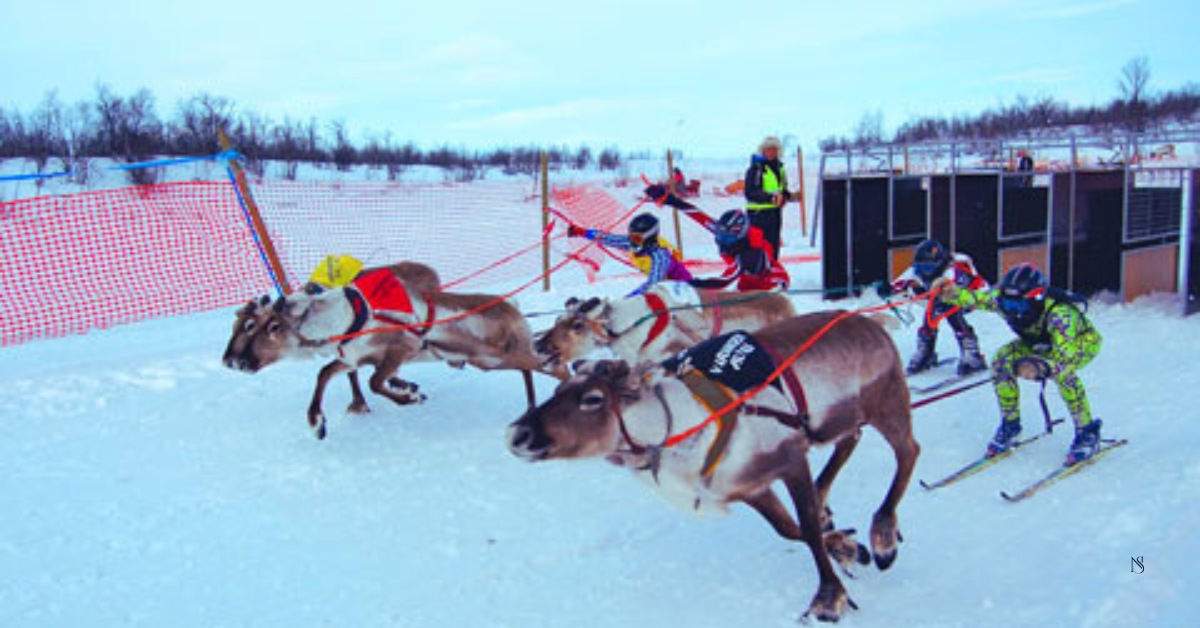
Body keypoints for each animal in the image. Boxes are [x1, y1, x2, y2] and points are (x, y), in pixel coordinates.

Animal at [507, 311, 919, 622]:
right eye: (557, 391)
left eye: (592, 398)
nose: (517, 434)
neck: (674, 427)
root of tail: (869, 321)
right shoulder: (746, 487)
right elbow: (791, 530)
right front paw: (846, 546)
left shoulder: (789, 457)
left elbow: (805, 530)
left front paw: (829, 596)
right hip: (839, 420)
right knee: (851, 441)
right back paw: (831, 504)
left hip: (887, 403)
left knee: (908, 452)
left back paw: (883, 534)